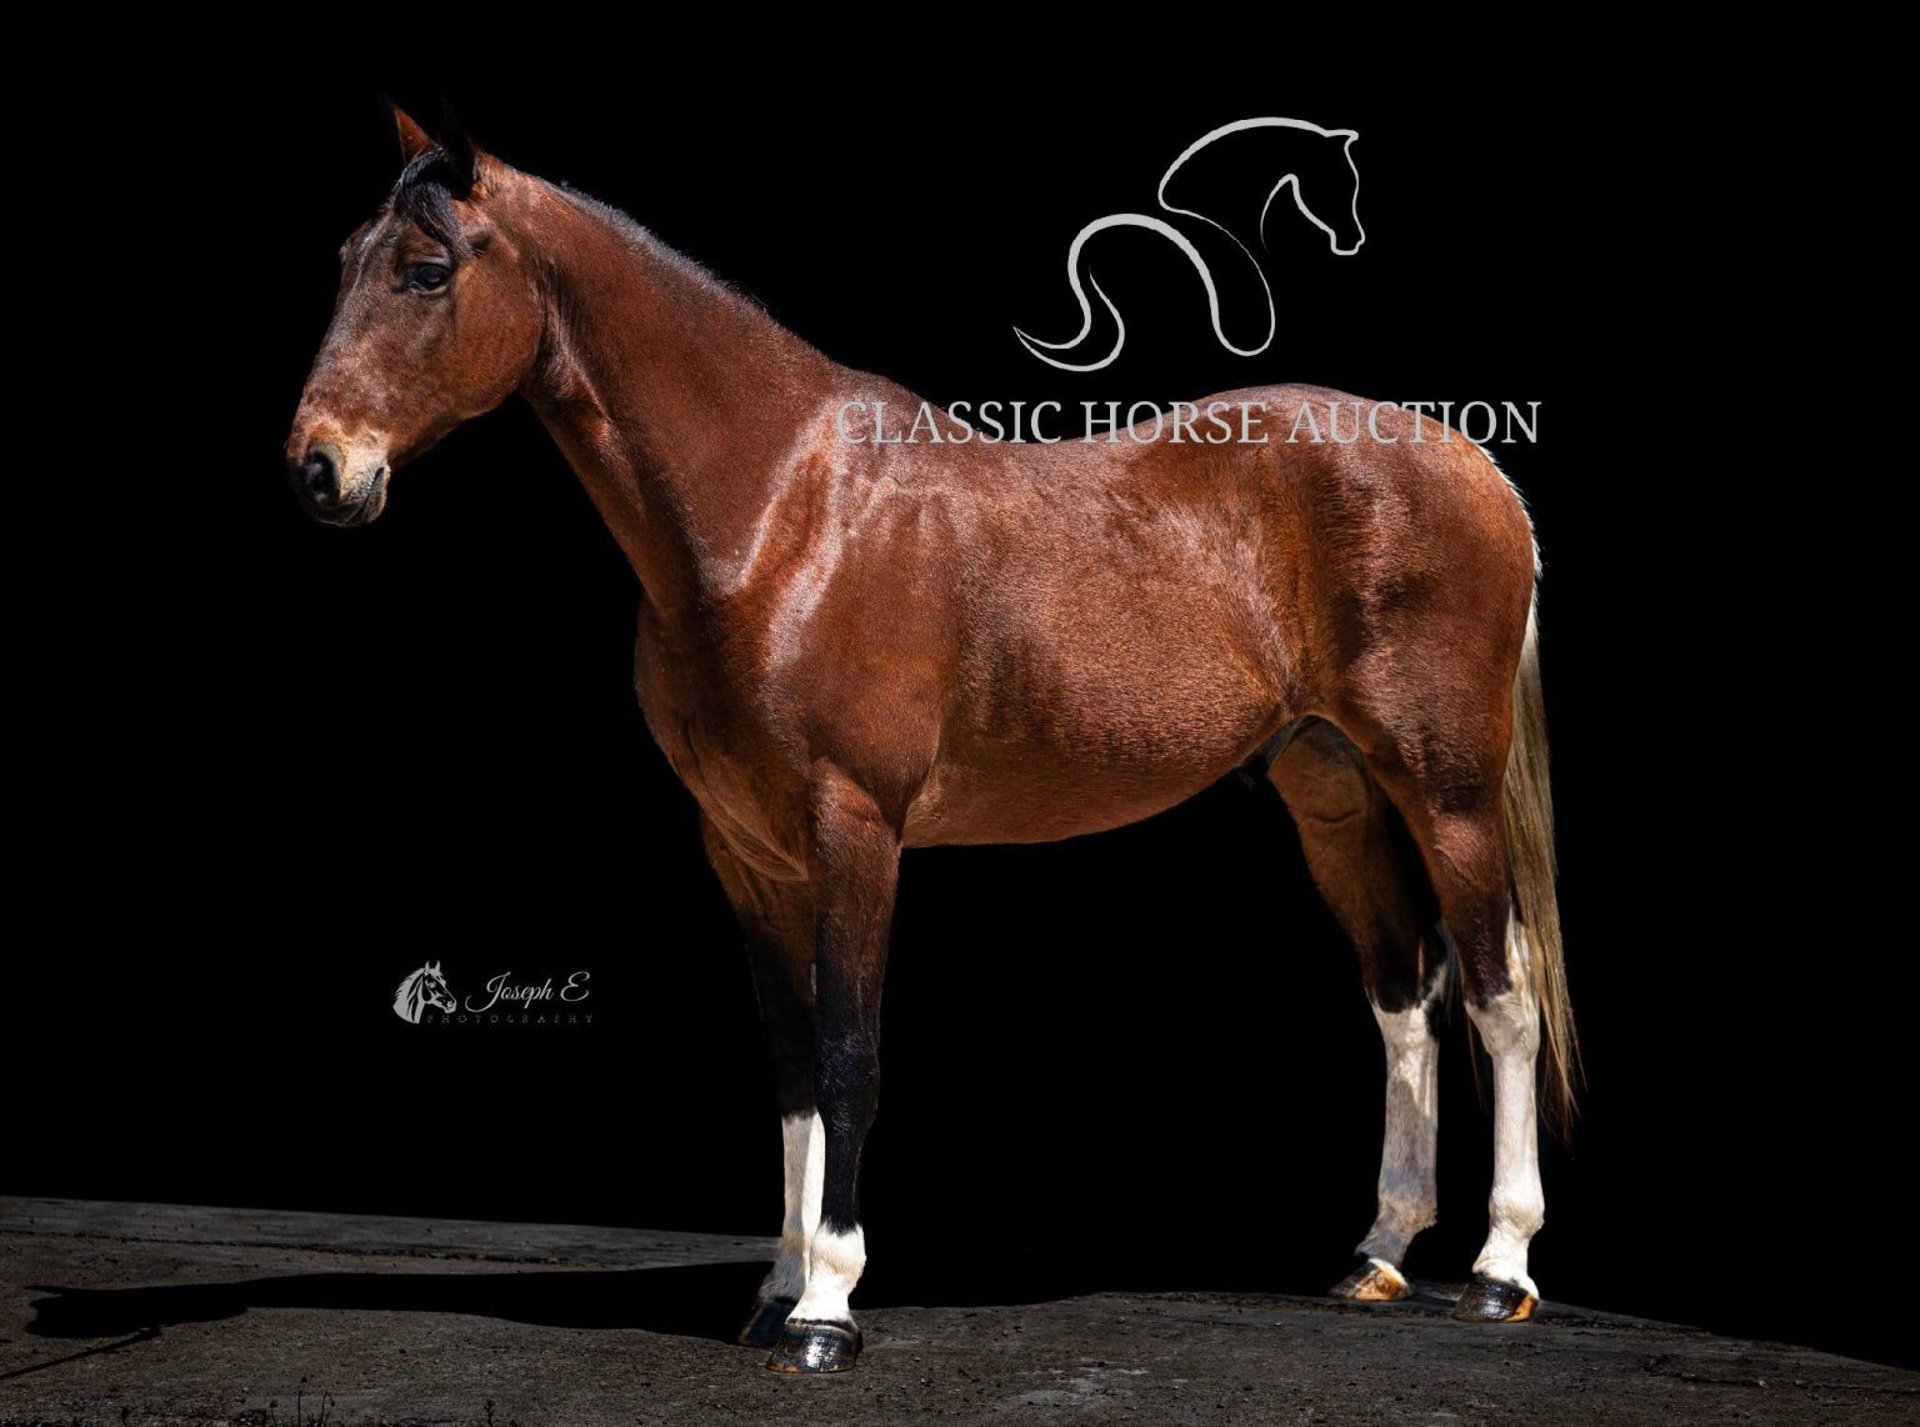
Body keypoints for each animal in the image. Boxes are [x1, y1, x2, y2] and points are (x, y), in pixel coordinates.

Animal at [288, 107, 1576, 1374]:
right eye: (345, 261)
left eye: (426, 270)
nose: (319, 467)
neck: (781, 513)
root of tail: (1475, 468)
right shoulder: (746, 854)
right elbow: (795, 1068)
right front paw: (777, 1285)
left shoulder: (856, 826)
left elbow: (851, 1054)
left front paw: (828, 1305)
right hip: (1332, 790)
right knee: (1404, 994)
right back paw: (1378, 1254)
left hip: (1448, 792)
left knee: (1499, 996)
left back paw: (1500, 1268)